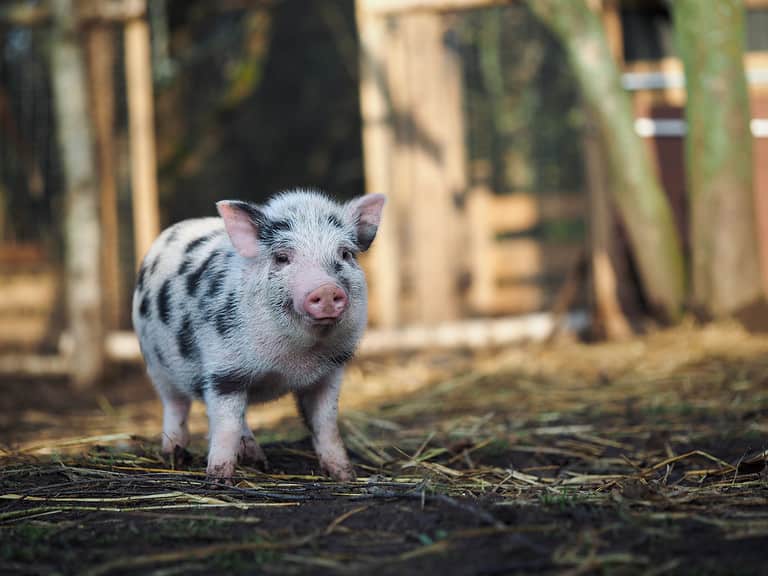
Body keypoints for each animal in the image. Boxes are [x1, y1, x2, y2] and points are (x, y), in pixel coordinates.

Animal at [131, 189, 386, 483]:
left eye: (345, 254)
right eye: (282, 257)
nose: (326, 289)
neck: (291, 364)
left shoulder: (329, 373)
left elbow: (326, 424)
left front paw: (345, 476)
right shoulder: (223, 371)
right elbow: (226, 425)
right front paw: (218, 479)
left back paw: (256, 460)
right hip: (156, 364)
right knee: (176, 405)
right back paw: (175, 456)